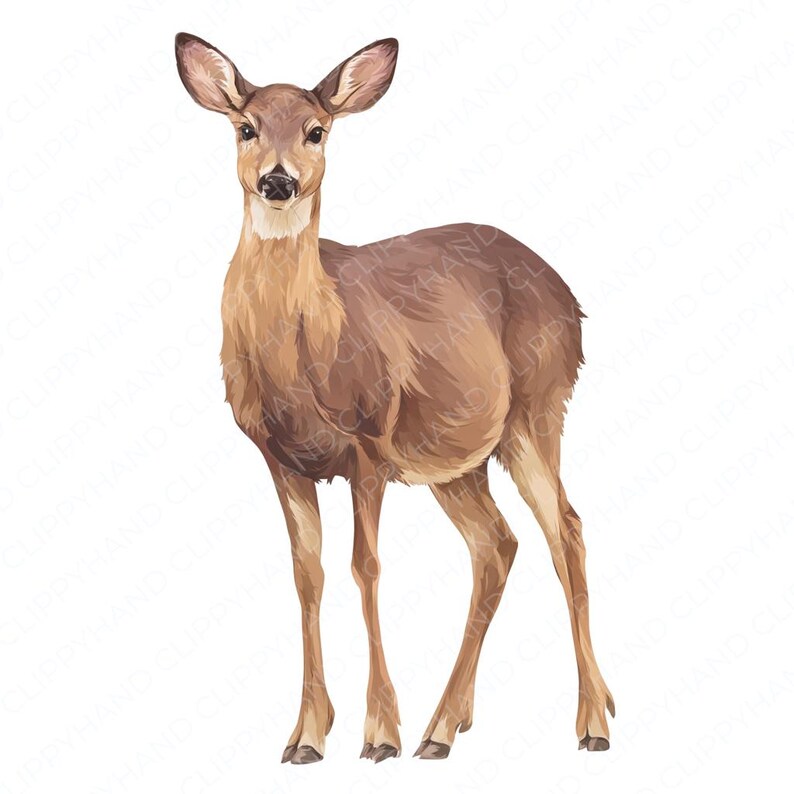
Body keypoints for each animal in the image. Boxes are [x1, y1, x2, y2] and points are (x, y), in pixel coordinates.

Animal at [174, 32, 615, 764]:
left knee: (568, 532)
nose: (277, 181)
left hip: (537, 409)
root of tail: (570, 298)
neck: (304, 354)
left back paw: (590, 724)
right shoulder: (281, 459)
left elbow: (366, 568)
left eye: (317, 130)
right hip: (457, 457)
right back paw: (447, 728)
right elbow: (308, 576)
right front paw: (305, 737)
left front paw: (378, 733)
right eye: (246, 127)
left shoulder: (368, 444)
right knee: (497, 545)